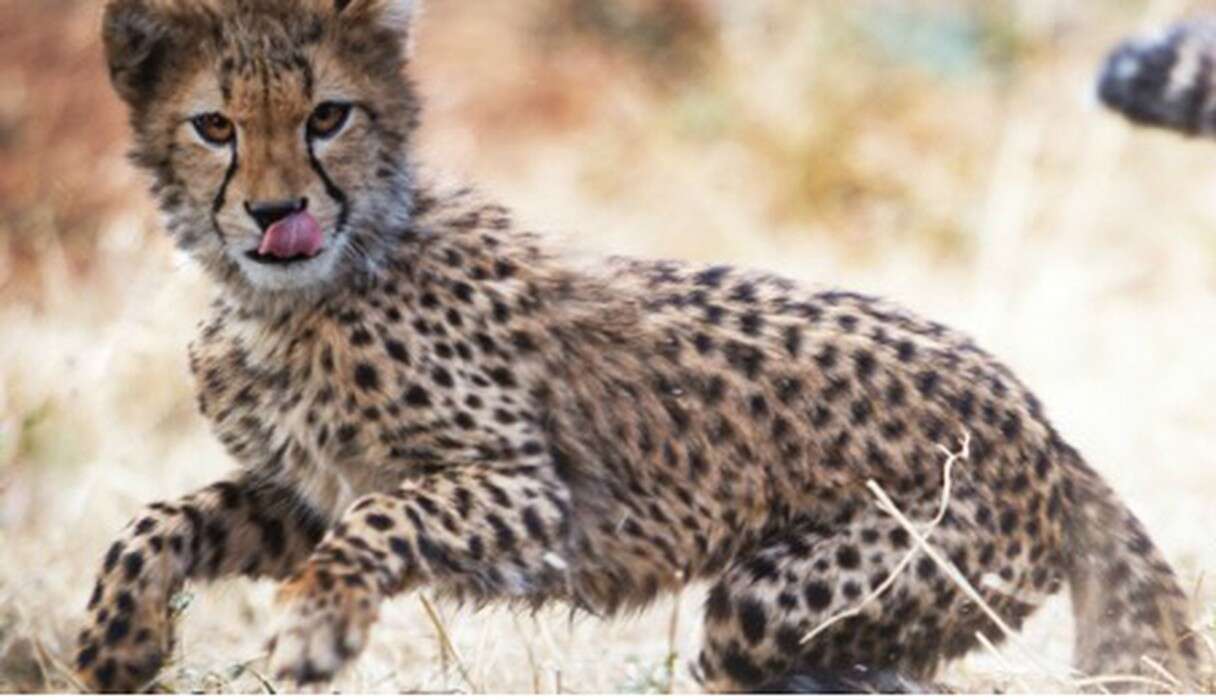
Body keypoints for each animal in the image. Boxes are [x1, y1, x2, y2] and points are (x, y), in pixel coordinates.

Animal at [75, 0, 1204, 692]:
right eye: (214, 126)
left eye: (327, 117)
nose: (277, 213)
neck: (294, 296)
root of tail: (1043, 428)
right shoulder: (304, 493)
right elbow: (161, 520)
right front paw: (117, 644)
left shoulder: (526, 492)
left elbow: (379, 522)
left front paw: (315, 632)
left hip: (788, 595)